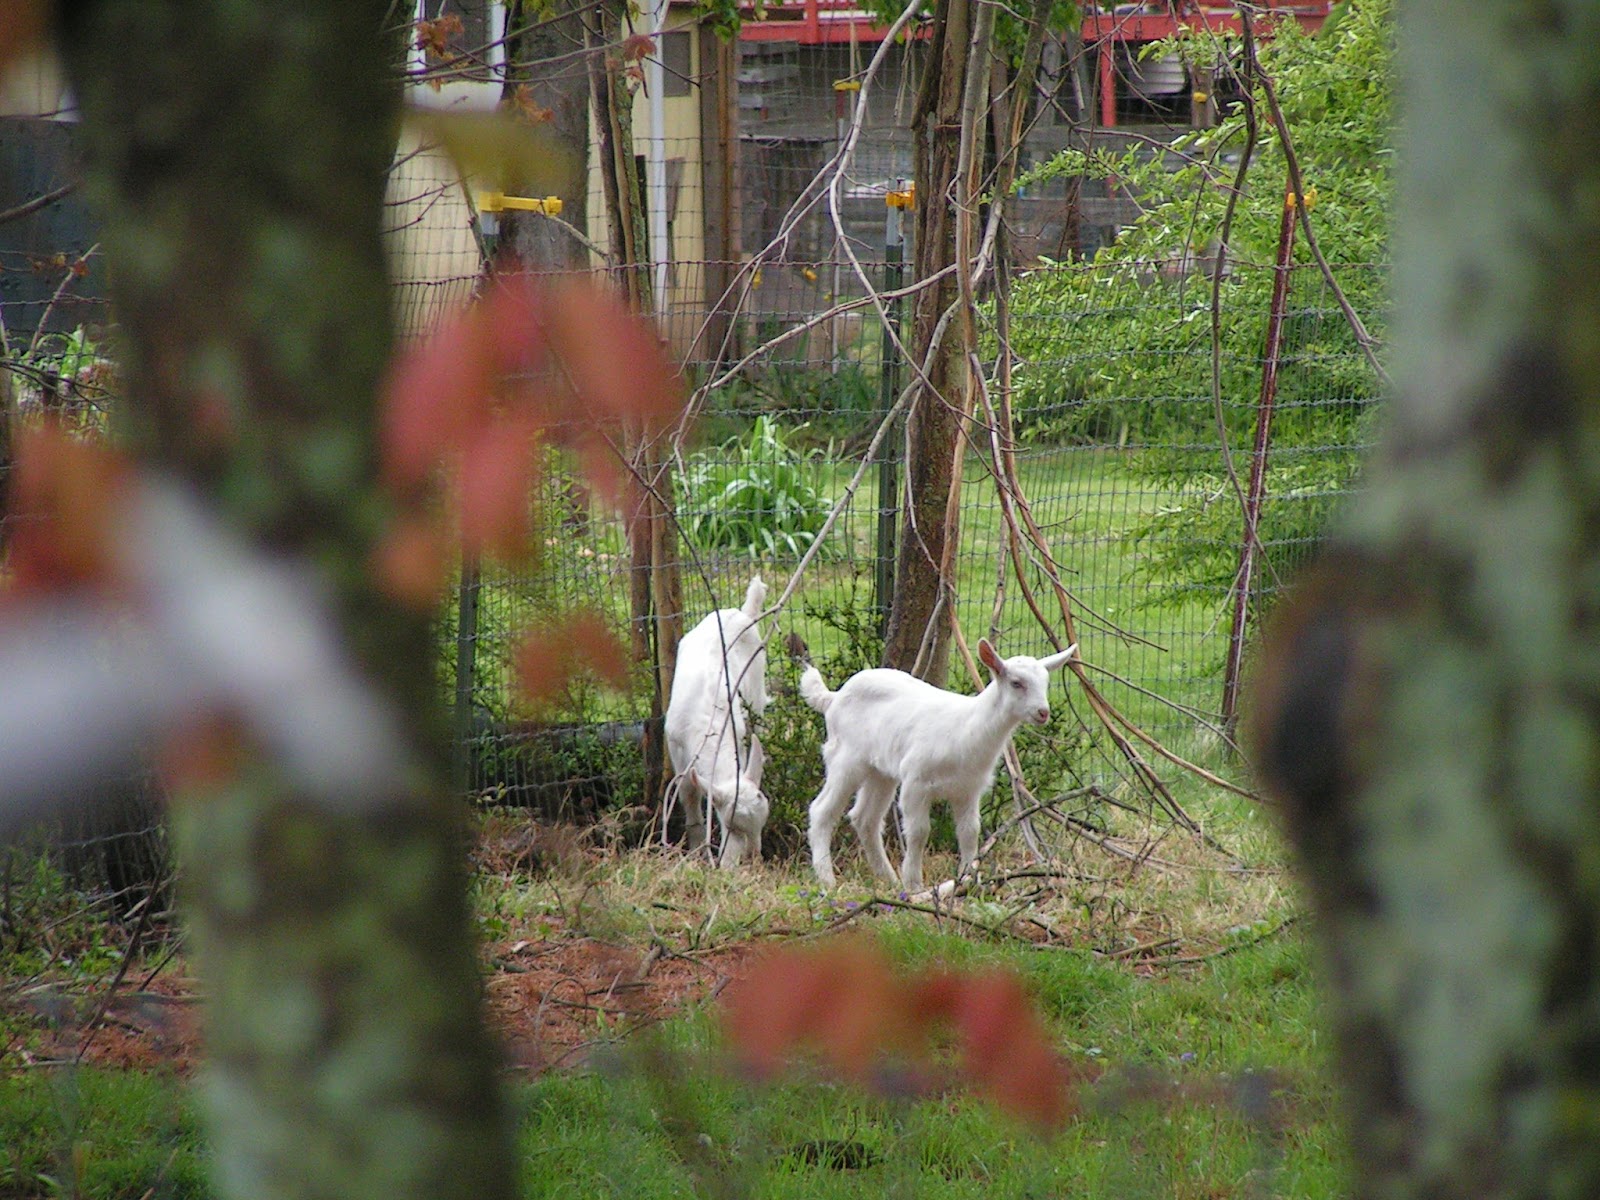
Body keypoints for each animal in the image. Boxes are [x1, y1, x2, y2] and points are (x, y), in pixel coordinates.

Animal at [664, 576, 771, 867]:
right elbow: (688, 796)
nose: (753, 860)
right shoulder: (676, 750)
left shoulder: (738, 737)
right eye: (730, 825)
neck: (705, 726)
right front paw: (696, 851)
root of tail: (743, 612)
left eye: (763, 824)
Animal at [800, 638, 1077, 891]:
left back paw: (887, 878)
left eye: (1046, 683)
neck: (968, 728)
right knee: (822, 810)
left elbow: (969, 832)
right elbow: (919, 832)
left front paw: (969, 881)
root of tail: (833, 697)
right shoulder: (916, 782)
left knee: (864, 818)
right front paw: (914, 885)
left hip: (880, 770)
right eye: (1016, 683)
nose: (1043, 712)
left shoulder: (968, 790)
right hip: (846, 757)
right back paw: (827, 879)